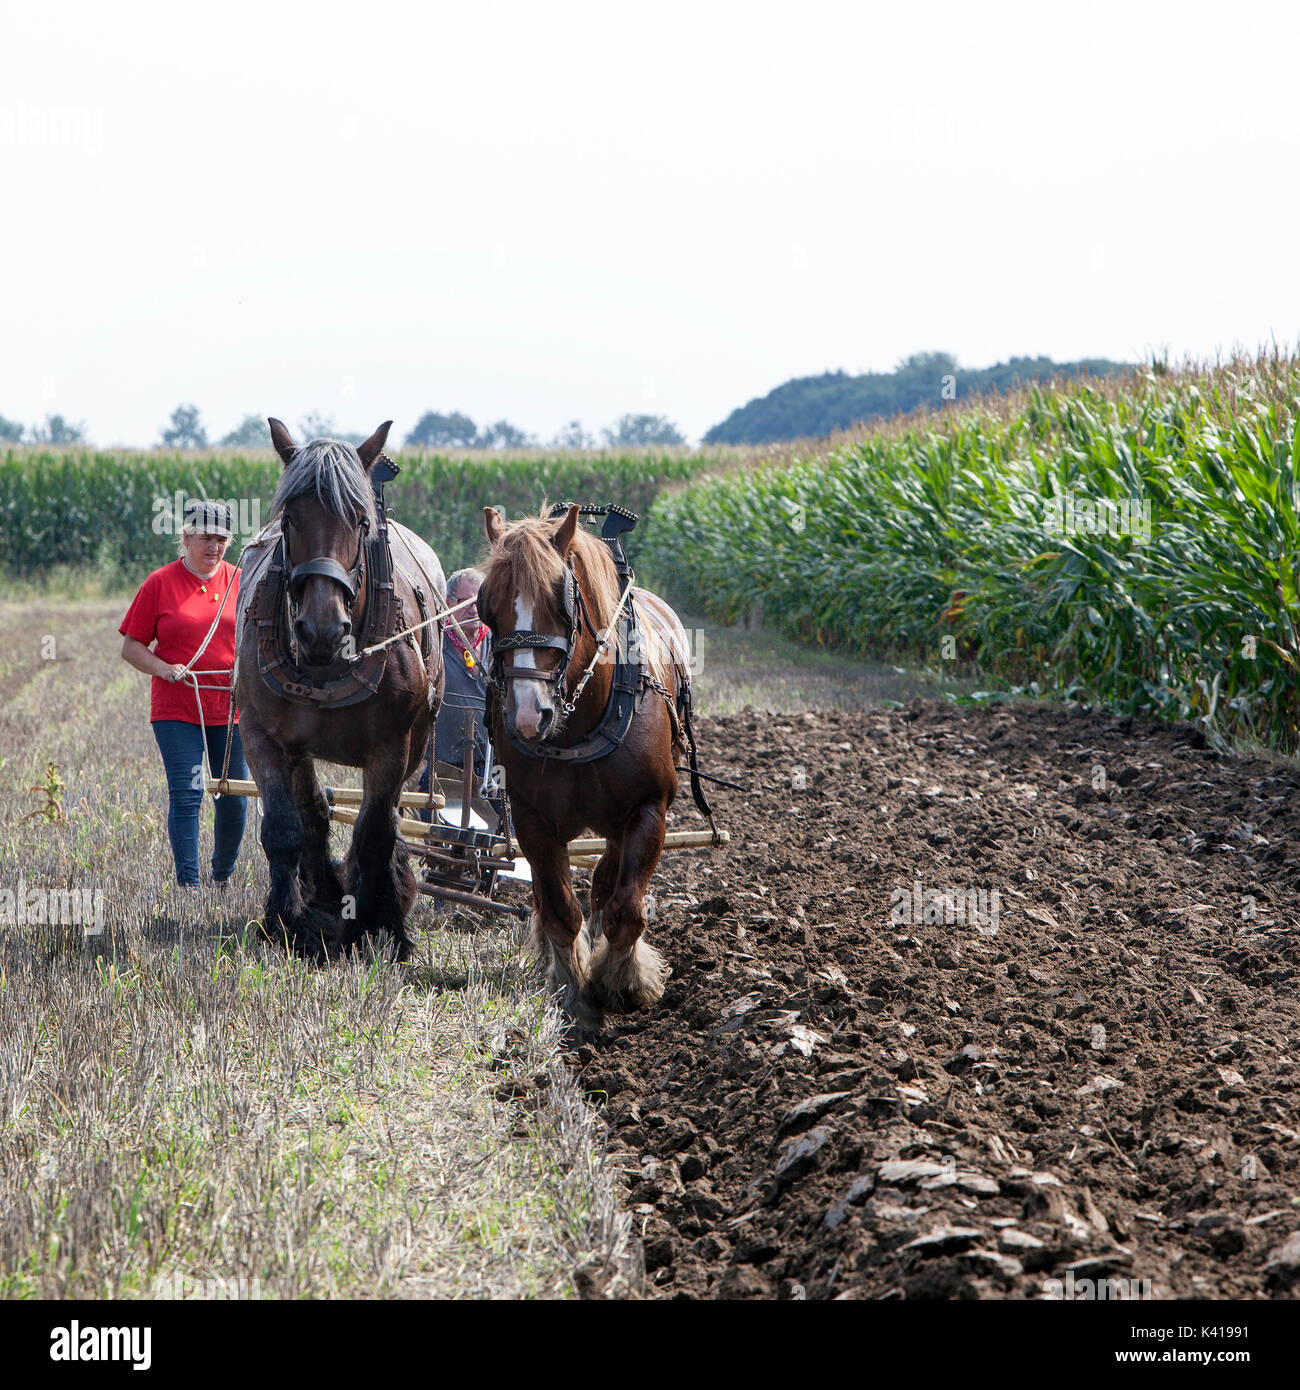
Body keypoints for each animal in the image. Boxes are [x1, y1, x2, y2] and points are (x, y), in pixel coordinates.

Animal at [233, 420, 445, 960]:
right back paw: (323, 897)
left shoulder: (392, 747)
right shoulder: (262, 736)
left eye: (360, 521)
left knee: (389, 820)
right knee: (312, 809)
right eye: (289, 519)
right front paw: (285, 922)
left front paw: (374, 926)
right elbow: (283, 827)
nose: (320, 630)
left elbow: (374, 833)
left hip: (418, 741)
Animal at [478, 503, 710, 1034]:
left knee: (609, 881)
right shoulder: (532, 820)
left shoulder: (648, 809)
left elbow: (626, 907)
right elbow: (560, 907)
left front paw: (623, 981)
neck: (579, 723)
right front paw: (571, 990)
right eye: (488, 607)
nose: (528, 716)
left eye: (562, 601)